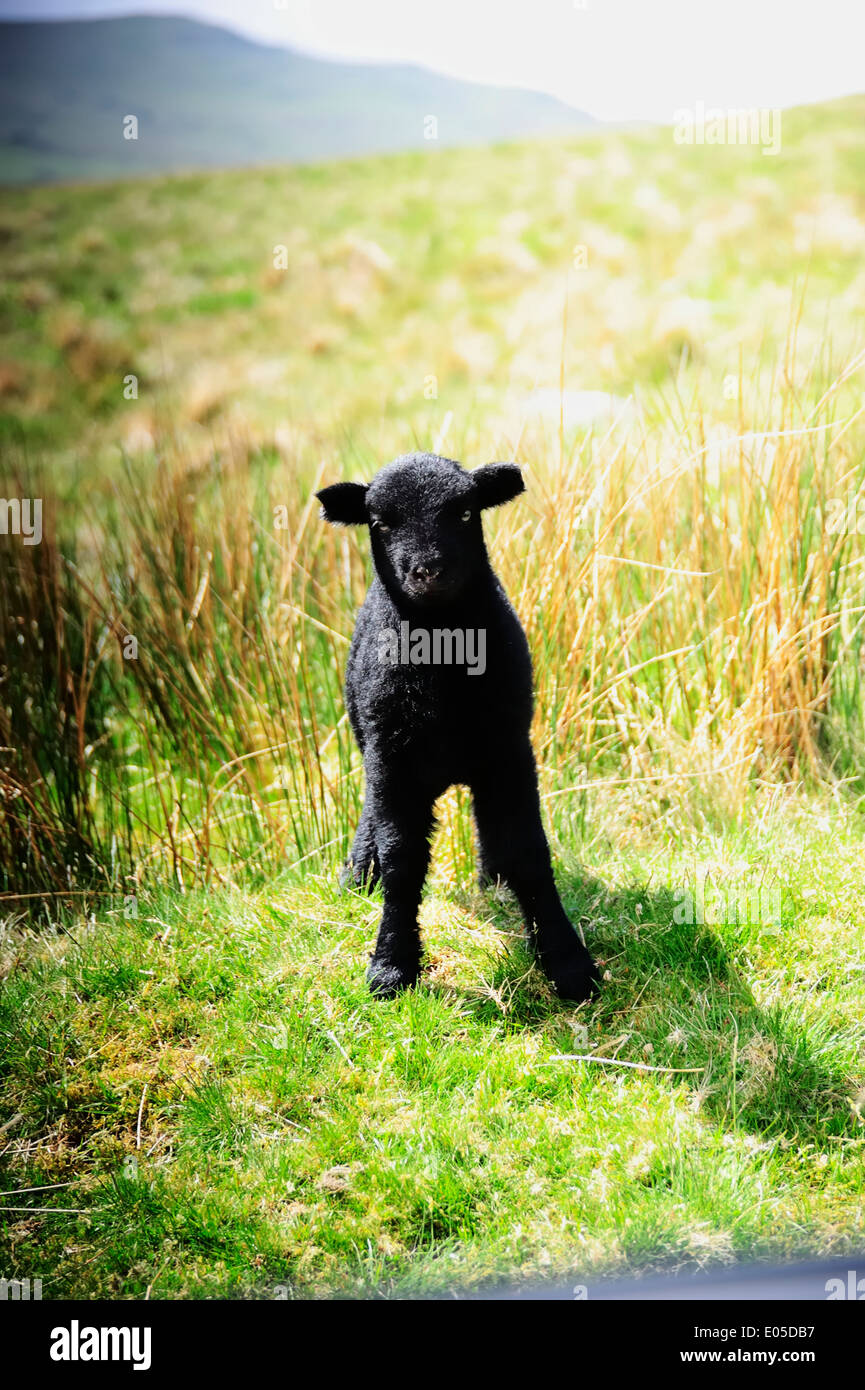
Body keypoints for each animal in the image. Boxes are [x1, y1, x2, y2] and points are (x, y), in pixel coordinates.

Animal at [316, 452, 599, 1003]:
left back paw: (493, 877)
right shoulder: (392, 758)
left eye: (466, 513)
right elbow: (402, 858)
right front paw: (391, 964)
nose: (428, 571)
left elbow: (529, 851)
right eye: (380, 523)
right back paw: (358, 873)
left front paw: (568, 962)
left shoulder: (511, 750)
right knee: (372, 813)